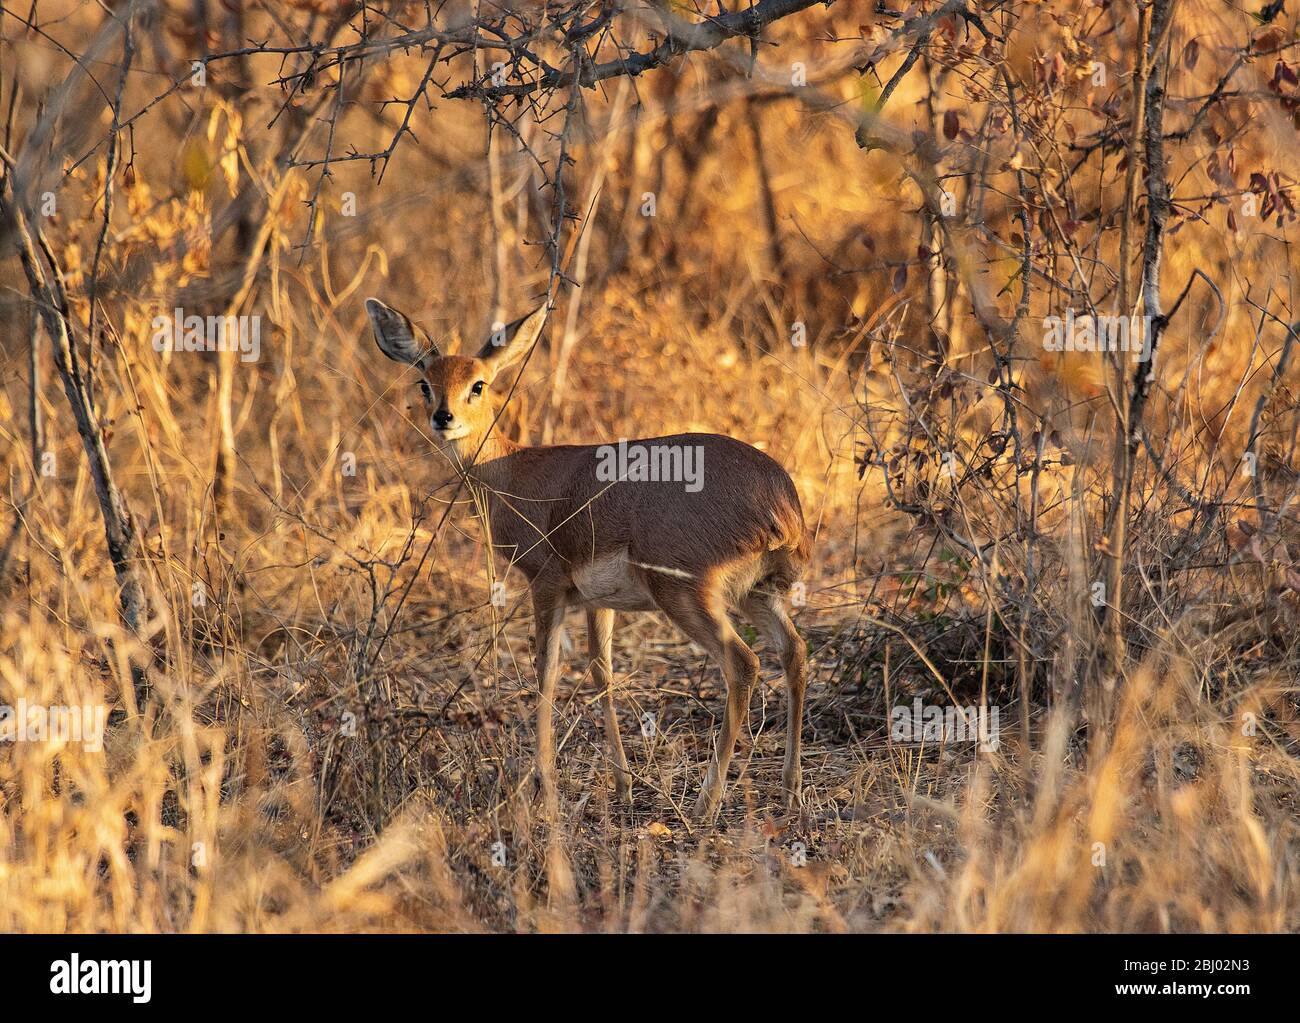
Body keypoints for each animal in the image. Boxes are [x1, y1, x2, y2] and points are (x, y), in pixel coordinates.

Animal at [365, 298, 810, 822]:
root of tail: (780, 502)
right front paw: (622, 785)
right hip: (756, 593)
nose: (443, 416)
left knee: (743, 663)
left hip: (686, 593)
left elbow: (547, 672)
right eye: (425, 381)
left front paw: (544, 786)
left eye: (478, 383)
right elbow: (603, 674)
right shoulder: (600, 601)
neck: (510, 471)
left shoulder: (545, 583)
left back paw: (707, 801)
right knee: (795, 651)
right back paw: (790, 791)